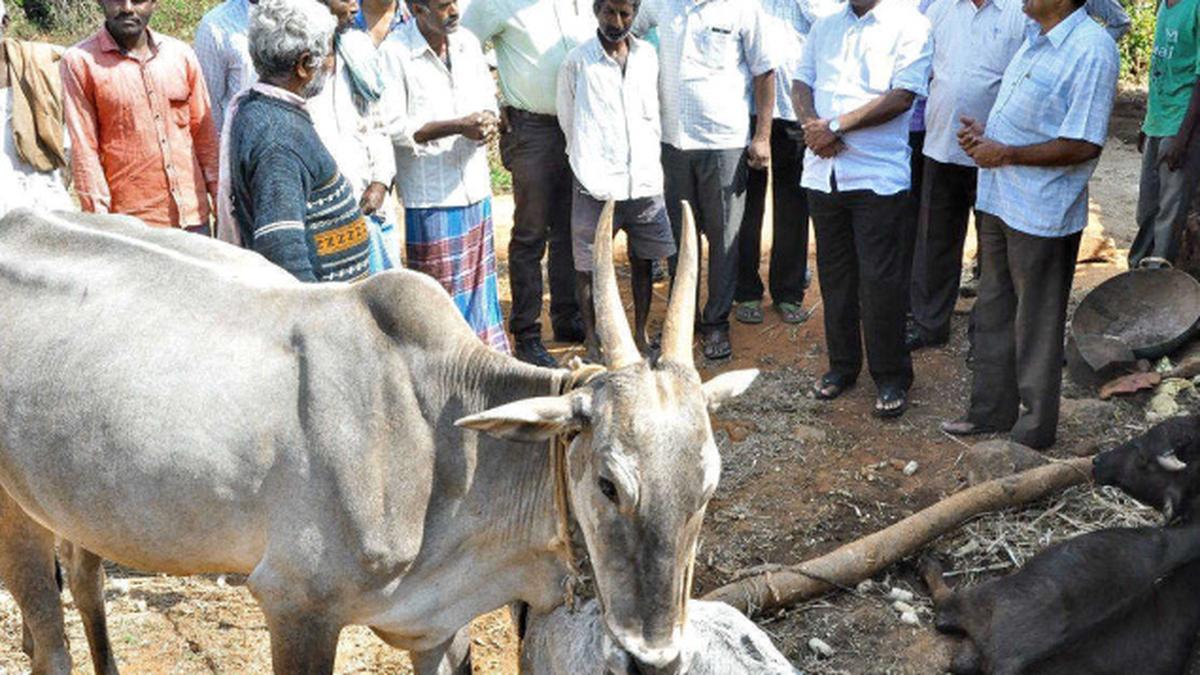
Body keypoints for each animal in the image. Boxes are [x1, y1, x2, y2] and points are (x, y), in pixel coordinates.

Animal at [0, 205, 757, 675]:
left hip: (75, 501)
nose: (653, 659)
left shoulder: (437, 626)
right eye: (607, 482)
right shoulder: (295, 604)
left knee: (86, 577)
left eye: (710, 486)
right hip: (14, 510)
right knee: (48, 642)